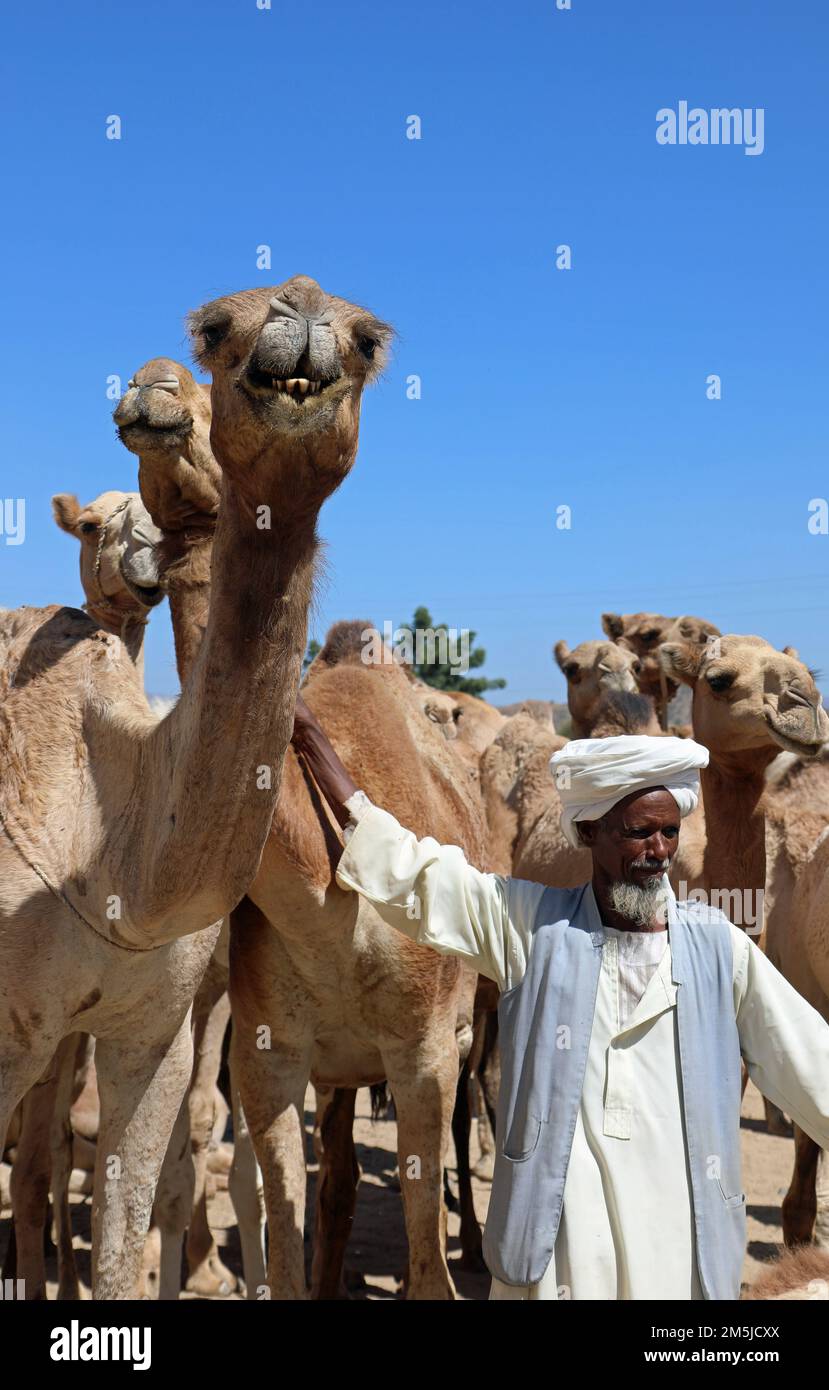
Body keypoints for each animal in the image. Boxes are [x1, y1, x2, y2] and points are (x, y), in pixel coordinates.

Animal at [115, 336, 489, 1299]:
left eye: (217, 387)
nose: (149, 382)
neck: (325, 892)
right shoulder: (267, 1058)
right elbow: (285, 1244)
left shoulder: (424, 1055)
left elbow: (425, 1267)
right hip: (337, 1071)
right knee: (342, 1178)